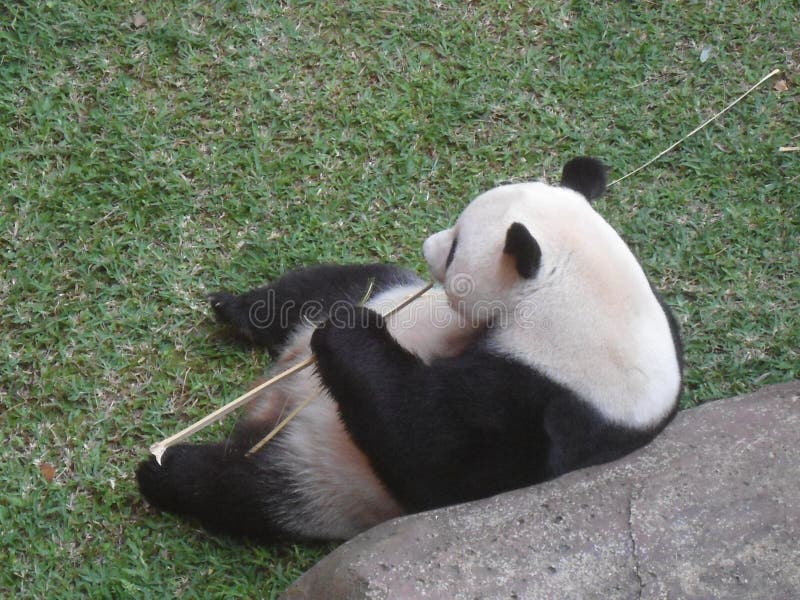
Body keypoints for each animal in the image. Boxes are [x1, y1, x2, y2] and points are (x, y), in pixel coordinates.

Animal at [136, 157, 683, 542]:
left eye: (458, 245)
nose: (426, 245)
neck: (583, 297)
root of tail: (272, 404)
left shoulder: (543, 410)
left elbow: (433, 452)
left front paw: (347, 335)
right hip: (383, 289)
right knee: (321, 288)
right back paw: (239, 310)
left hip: (324, 482)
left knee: (243, 490)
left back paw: (164, 470)